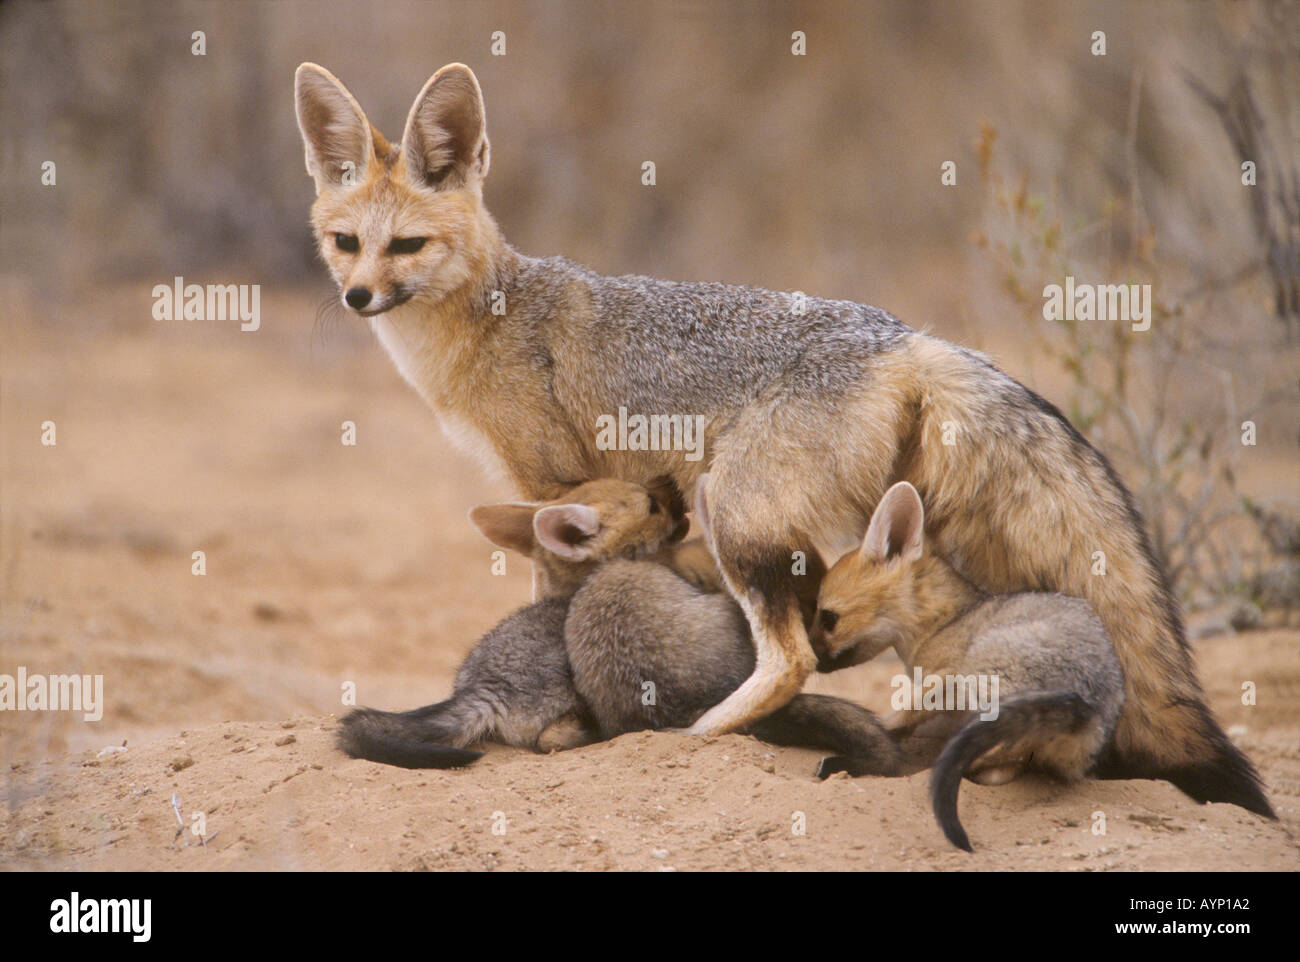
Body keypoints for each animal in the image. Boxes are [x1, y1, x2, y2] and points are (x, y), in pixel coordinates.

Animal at [808, 481, 1125, 850]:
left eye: (828, 618)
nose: (809, 658)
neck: (946, 621)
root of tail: (1087, 703)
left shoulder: (944, 680)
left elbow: (903, 713)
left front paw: (873, 729)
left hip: (982, 669)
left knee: (1005, 756)